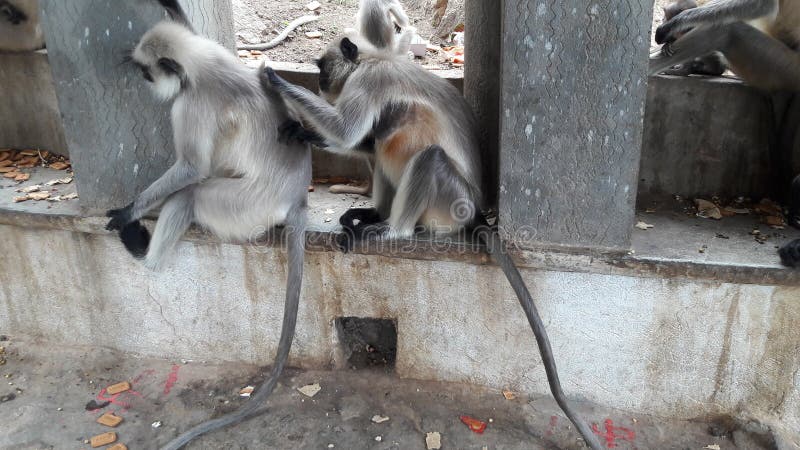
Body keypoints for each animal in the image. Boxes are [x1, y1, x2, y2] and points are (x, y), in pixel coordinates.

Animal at [103, 1, 311, 448]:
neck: (200, 66)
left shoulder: (190, 103)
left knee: (192, 194)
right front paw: (171, 6)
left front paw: (128, 212)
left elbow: (191, 168)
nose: (145, 81)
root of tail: (296, 196)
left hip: (244, 207)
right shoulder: (207, 49)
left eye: (148, 73)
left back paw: (145, 254)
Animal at [261, 31, 604, 450]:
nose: (322, 82)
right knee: (383, 140)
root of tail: (476, 212)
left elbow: (346, 131)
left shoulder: (369, 81)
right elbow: (359, 139)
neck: (375, 59)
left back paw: (394, 229)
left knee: (428, 155)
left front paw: (278, 82)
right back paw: (375, 215)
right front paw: (304, 131)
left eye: (323, 67)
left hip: (451, 203)